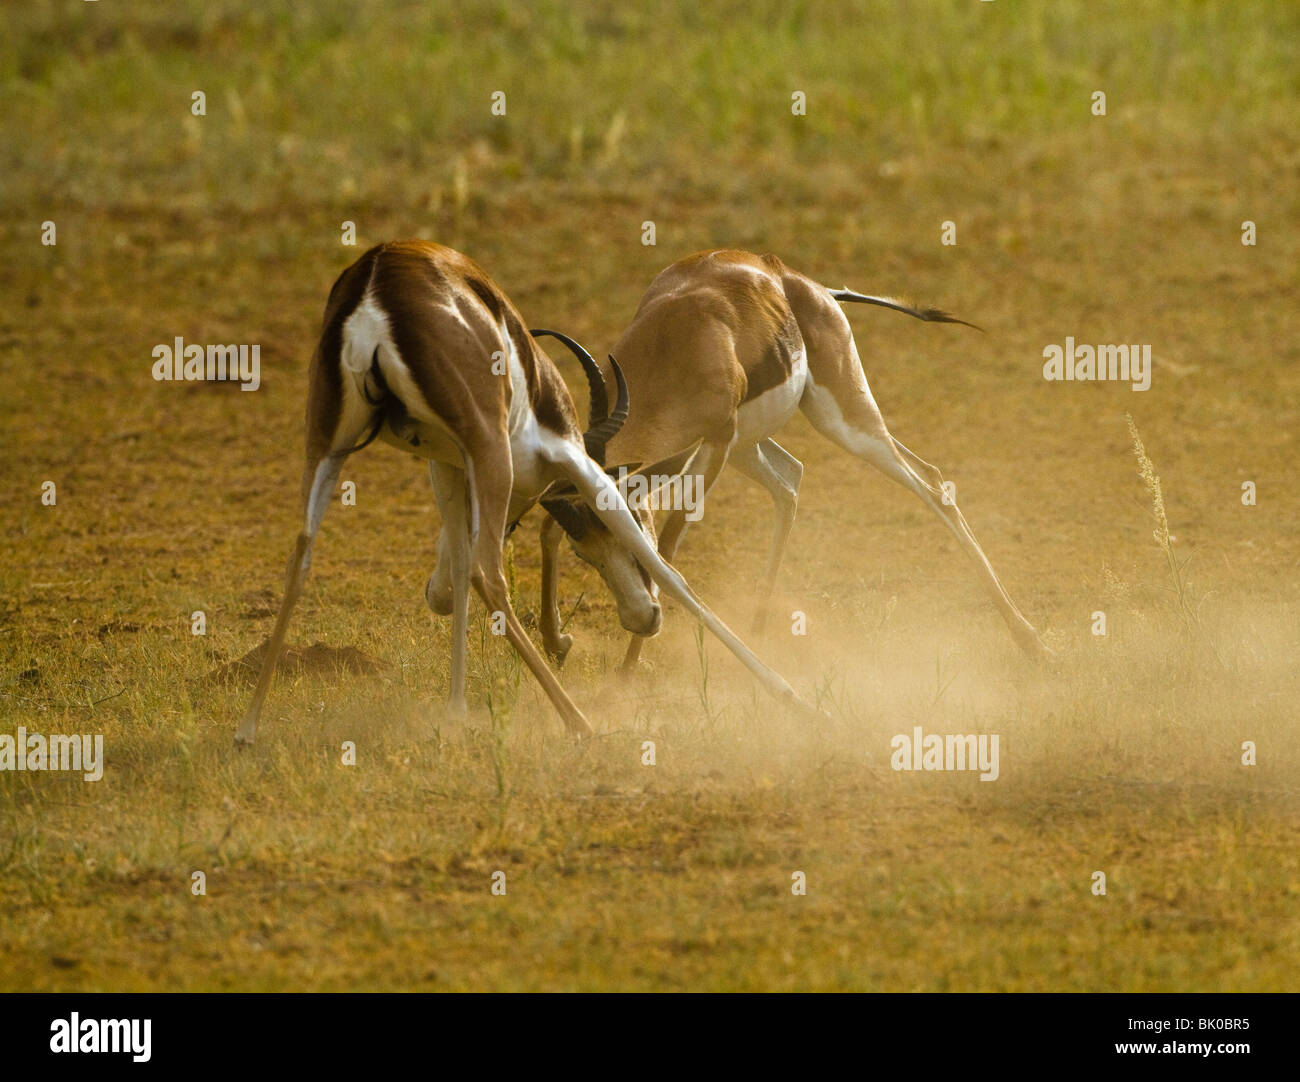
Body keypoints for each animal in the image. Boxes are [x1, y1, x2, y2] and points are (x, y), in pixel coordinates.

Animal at [235, 242, 809, 746]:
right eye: (586, 551)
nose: (643, 617)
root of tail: (376, 283)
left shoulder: (446, 464)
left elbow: (460, 560)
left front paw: (457, 708)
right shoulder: (571, 460)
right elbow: (668, 570)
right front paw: (786, 693)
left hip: (327, 446)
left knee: (304, 558)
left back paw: (247, 730)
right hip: (488, 449)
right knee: (488, 572)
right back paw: (580, 722)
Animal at [537, 249, 1049, 671]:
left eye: (631, 534)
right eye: (585, 552)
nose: (640, 619)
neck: (679, 337)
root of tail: (810, 286)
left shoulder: (715, 440)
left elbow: (668, 541)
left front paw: (626, 670)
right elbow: (548, 529)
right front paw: (557, 644)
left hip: (840, 418)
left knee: (929, 482)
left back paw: (1030, 640)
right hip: (751, 444)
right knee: (793, 479)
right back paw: (759, 629)